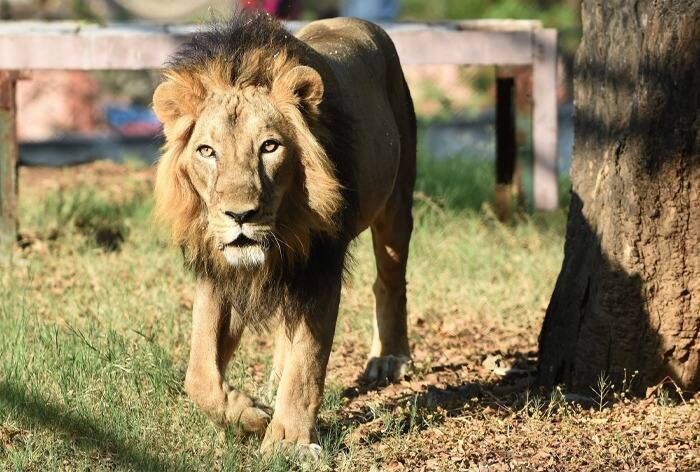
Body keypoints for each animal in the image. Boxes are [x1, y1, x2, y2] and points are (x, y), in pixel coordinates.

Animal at [152, 12, 415, 457]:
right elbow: (199, 374)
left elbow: (307, 364)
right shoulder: (219, 270)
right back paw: (271, 384)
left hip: (396, 204)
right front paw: (252, 415)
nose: (240, 215)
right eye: (207, 151)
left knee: (390, 281)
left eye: (269, 147)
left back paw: (390, 358)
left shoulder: (319, 268)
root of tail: (357, 20)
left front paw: (289, 442)